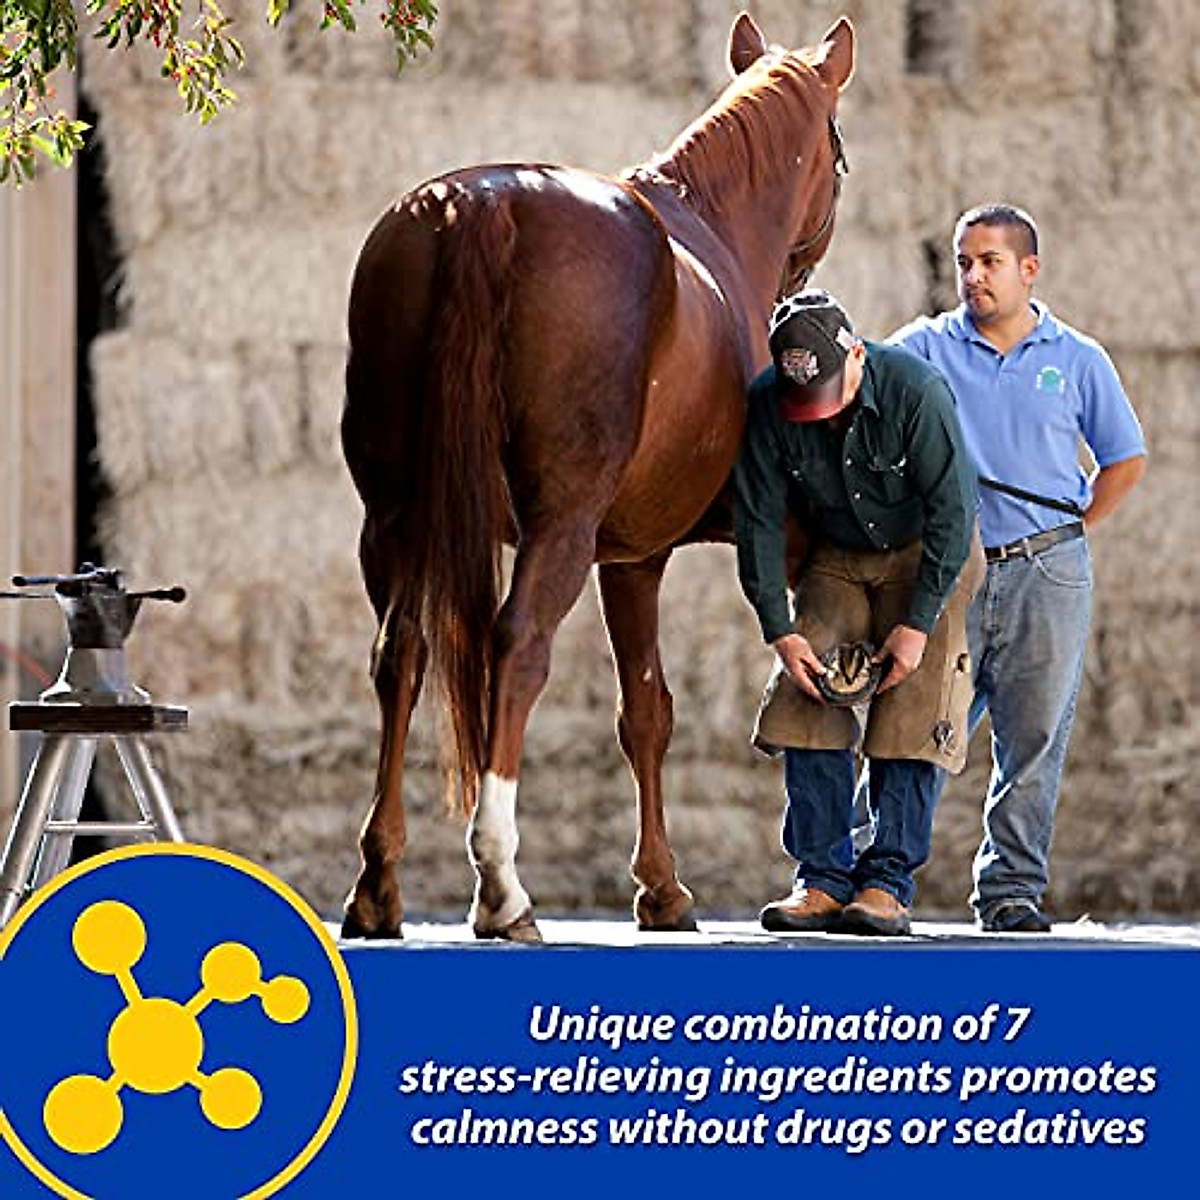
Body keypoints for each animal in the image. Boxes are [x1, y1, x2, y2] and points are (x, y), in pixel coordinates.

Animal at [340, 11, 855, 941]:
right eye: (838, 155)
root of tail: (483, 202)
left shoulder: (631, 559)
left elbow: (644, 712)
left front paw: (661, 887)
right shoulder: (703, 547)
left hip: (395, 519)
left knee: (403, 654)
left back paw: (377, 885)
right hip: (559, 527)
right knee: (516, 649)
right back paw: (502, 886)